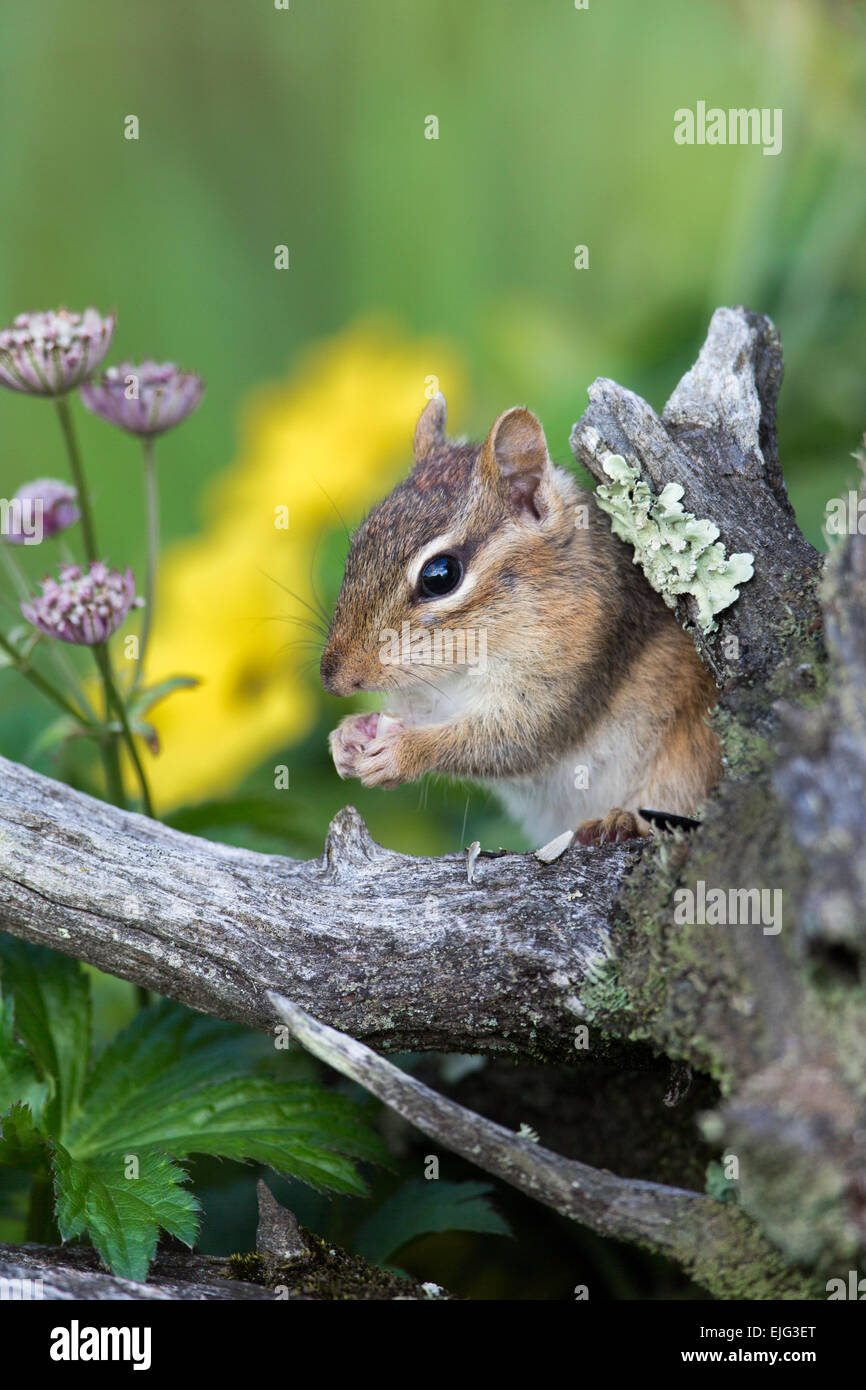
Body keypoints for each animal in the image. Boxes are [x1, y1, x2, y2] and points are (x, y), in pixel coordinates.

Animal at [321, 394, 721, 849]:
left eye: (440, 575)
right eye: (357, 546)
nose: (334, 680)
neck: (461, 671)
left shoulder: (577, 665)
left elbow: (512, 741)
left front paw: (402, 753)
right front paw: (348, 735)